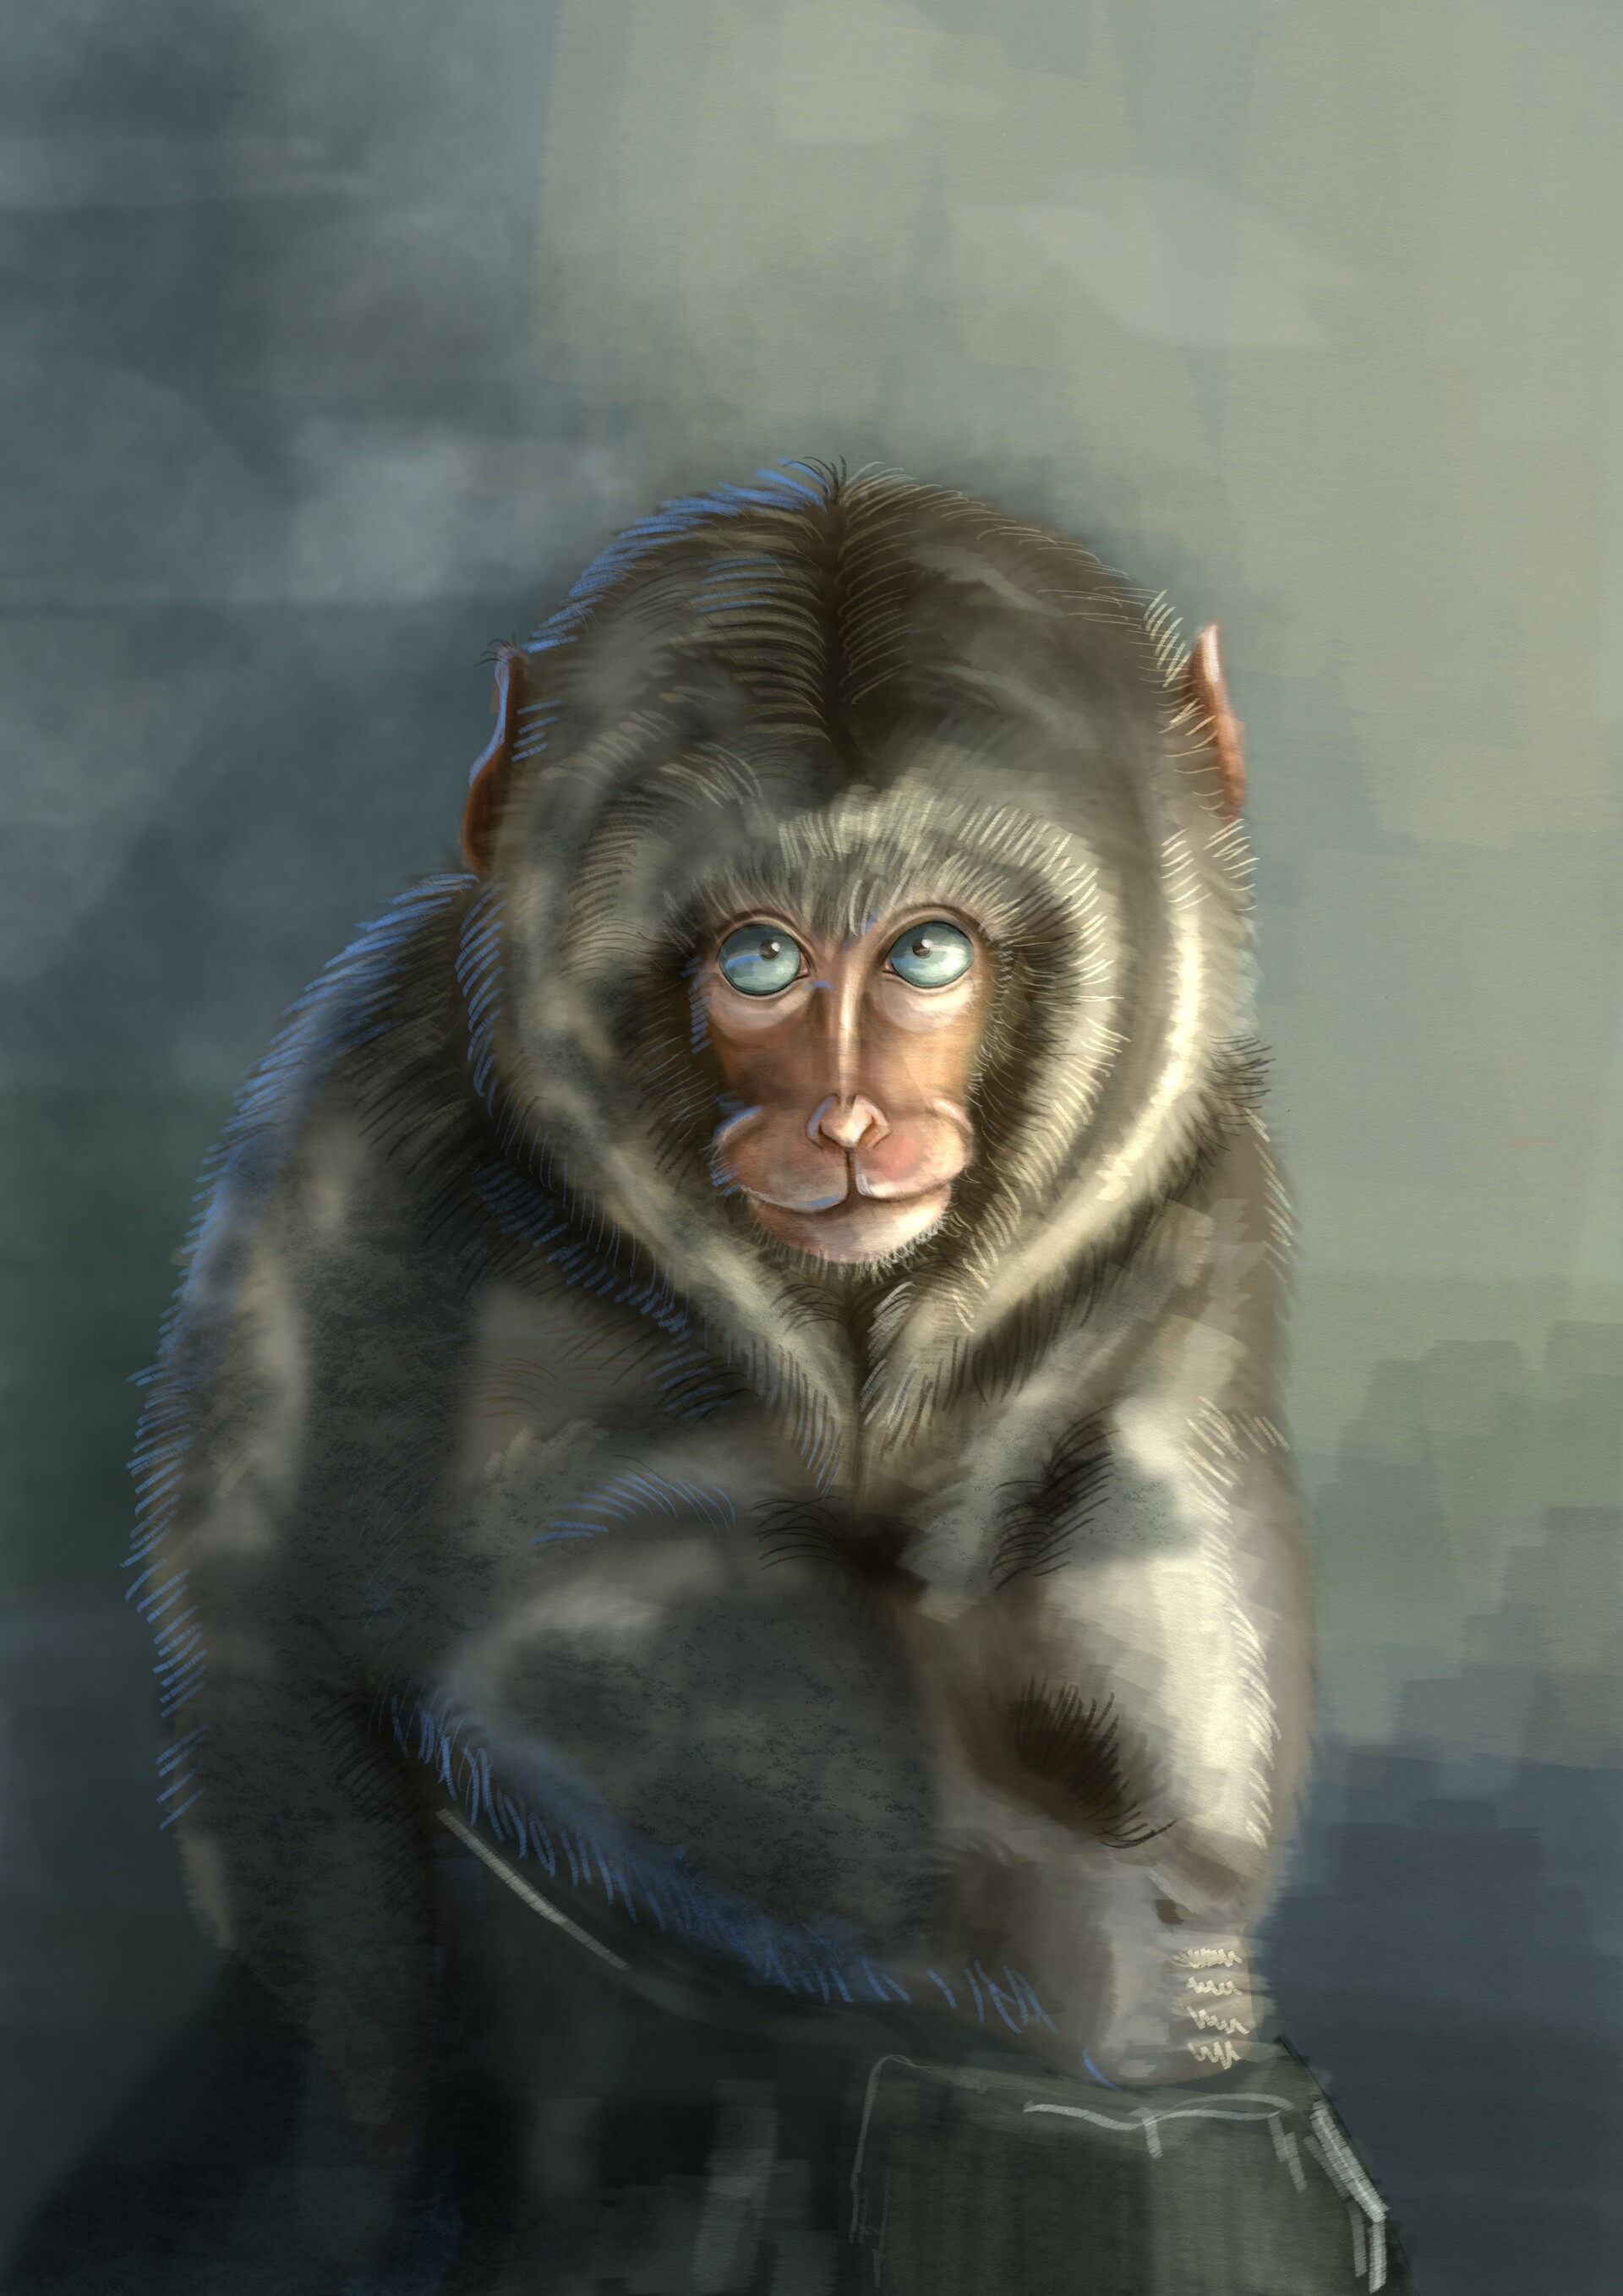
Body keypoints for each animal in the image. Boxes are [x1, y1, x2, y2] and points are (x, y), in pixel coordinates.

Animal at [121, 466, 1382, 2292]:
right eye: (763, 961)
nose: (846, 1118)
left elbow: (1186, 1790)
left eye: (926, 952)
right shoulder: (359, 1117)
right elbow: (433, 1663)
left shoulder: (1202, 1187)